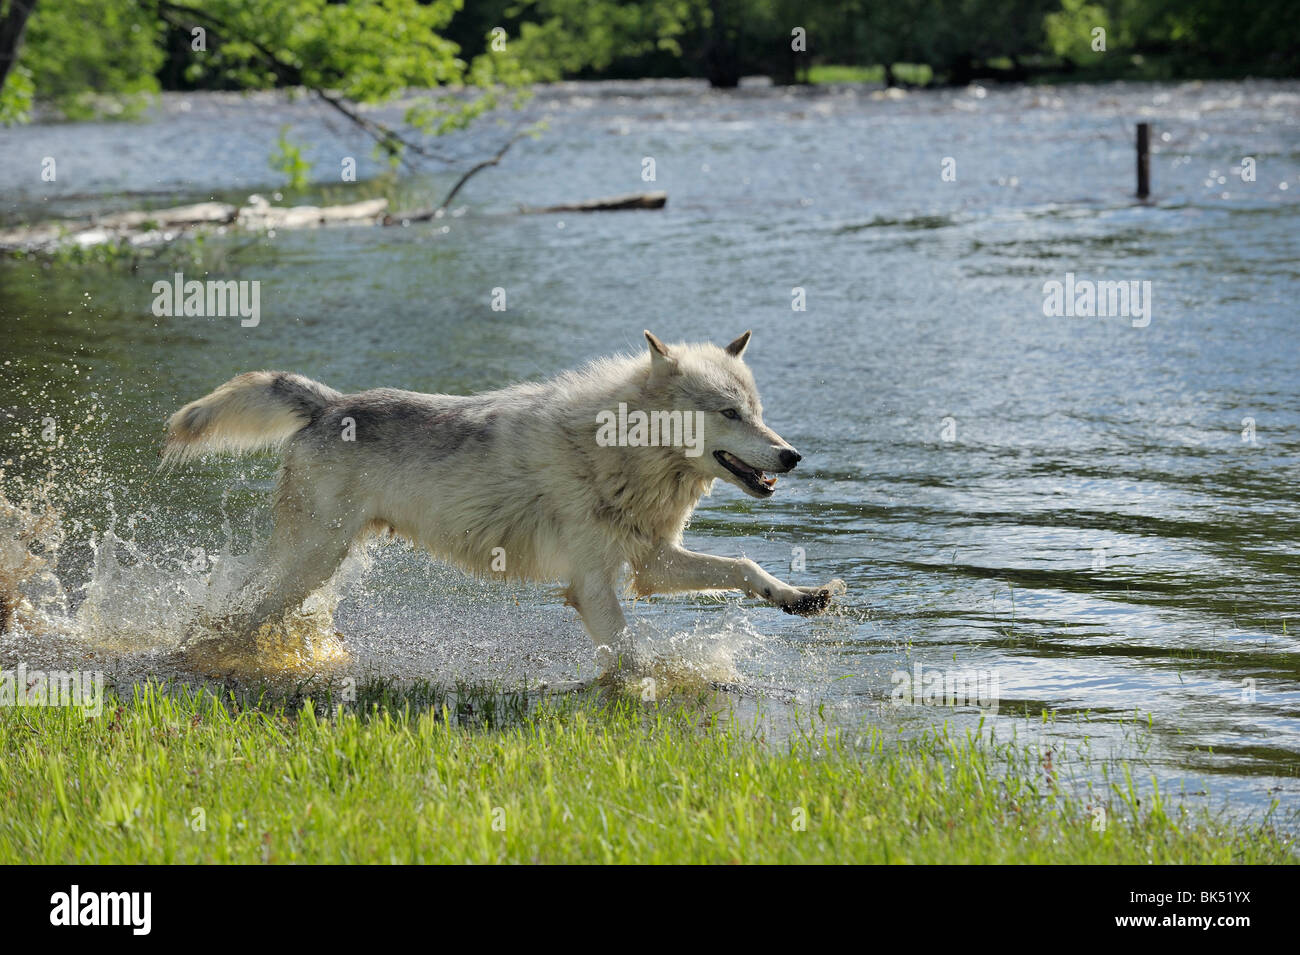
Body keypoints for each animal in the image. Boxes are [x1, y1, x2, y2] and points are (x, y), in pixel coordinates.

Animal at [162, 331, 844, 668]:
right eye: (729, 414)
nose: (792, 456)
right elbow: (630, 657)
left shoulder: (651, 564)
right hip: (311, 561)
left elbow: (743, 567)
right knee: (233, 609)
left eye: (758, 412)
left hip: (317, 562)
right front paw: (650, 687)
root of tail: (329, 402)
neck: (619, 453)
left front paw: (800, 597)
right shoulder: (592, 585)